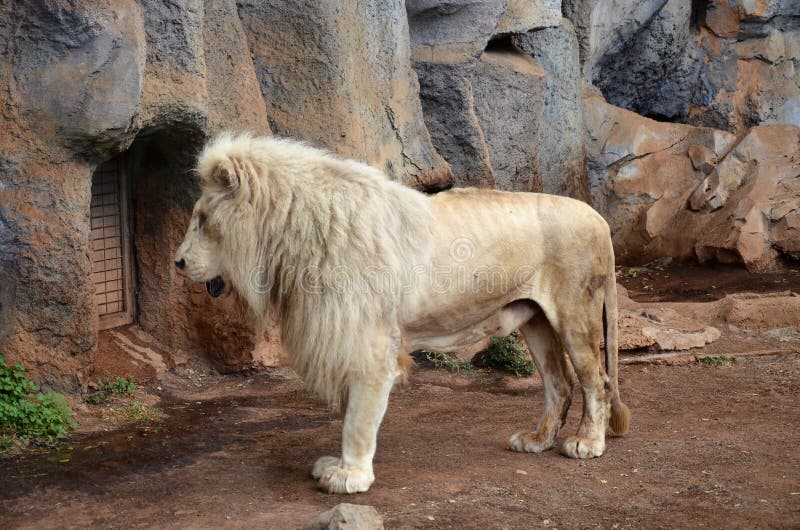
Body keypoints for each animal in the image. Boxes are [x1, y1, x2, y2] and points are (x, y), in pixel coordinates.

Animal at [174, 133, 630, 494]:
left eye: (202, 220)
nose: (177, 263)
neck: (294, 237)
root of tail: (597, 217)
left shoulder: (369, 344)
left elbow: (358, 418)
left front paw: (351, 477)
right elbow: (350, 412)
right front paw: (338, 465)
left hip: (575, 312)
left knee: (596, 380)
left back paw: (587, 444)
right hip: (534, 318)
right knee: (560, 382)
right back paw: (537, 440)